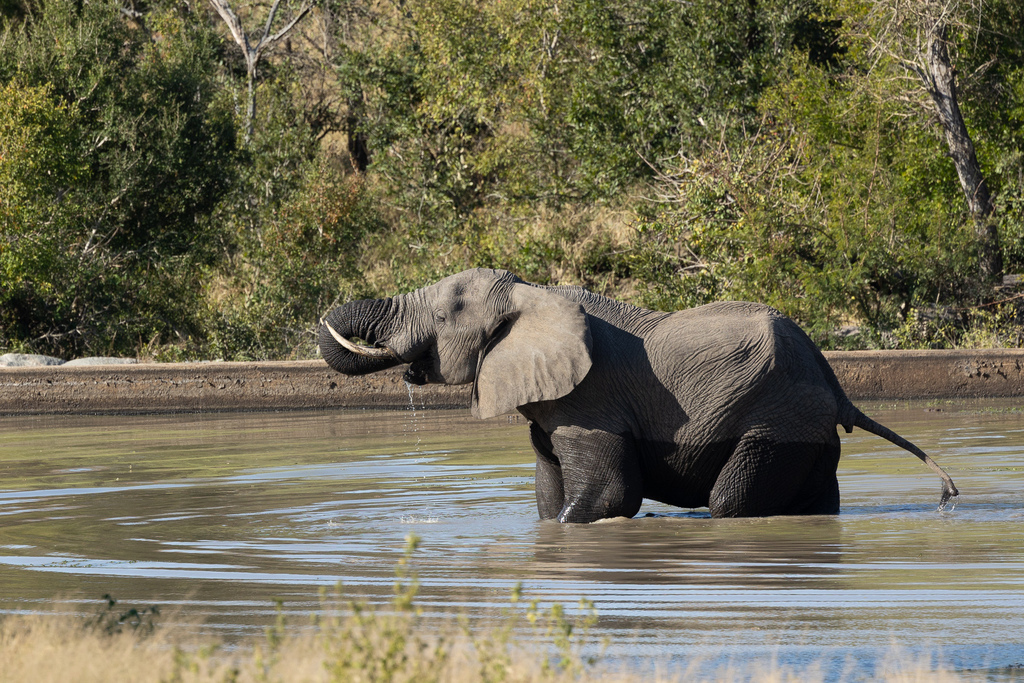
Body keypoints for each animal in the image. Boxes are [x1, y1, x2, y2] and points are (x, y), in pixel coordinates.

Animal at [318, 268, 958, 523]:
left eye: (445, 313)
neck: (532, 292)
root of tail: (835, 384)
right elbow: (549, 497)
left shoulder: (590, 400)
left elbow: (608, 494)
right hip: (807, 429)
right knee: (818, 499)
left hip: (776, 418)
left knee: (731, 502)